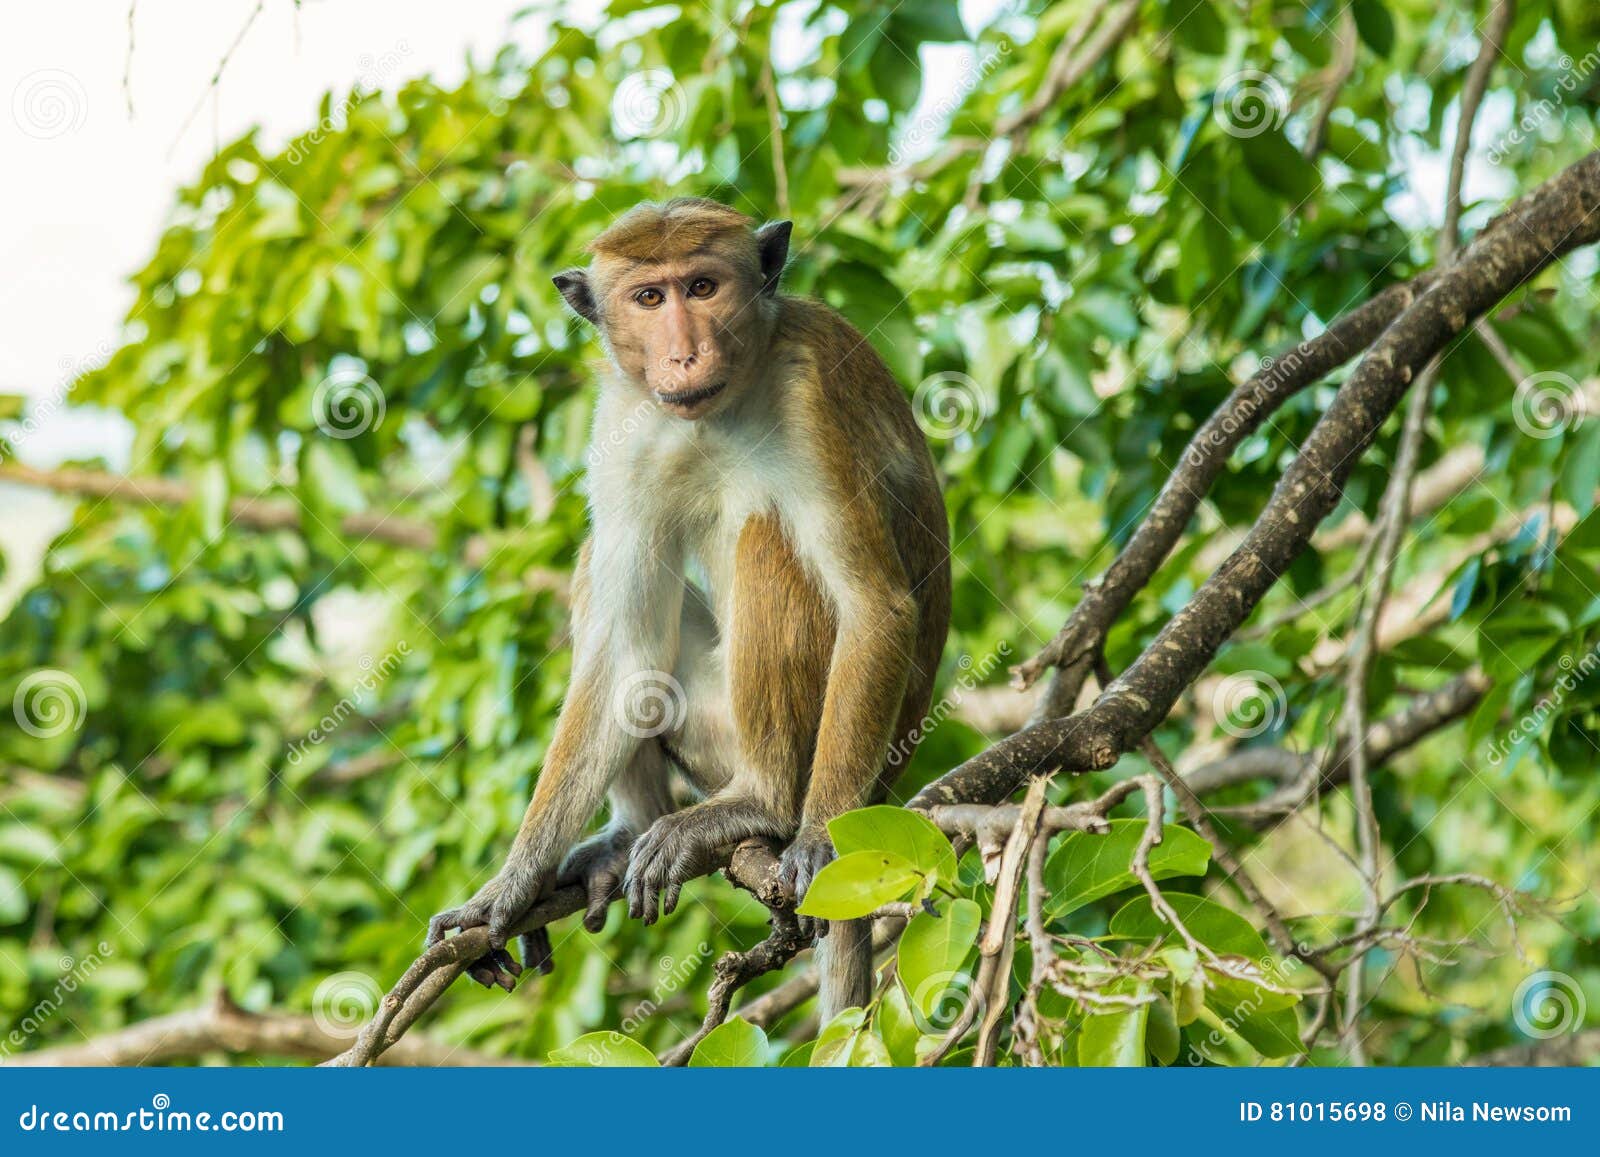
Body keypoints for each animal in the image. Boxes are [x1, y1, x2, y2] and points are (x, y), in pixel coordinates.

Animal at [426, 197, 951, 1017]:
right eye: (650, 298)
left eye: (703, 286)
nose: (683, 354)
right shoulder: (625, 420)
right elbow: (622, 658)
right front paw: (504, 891)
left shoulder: (813, 394)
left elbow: (878, 607)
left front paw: (820, 837)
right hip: (704, 730)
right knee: (618, 603)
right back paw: (628, 831)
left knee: (771, 537)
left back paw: (764, 805)